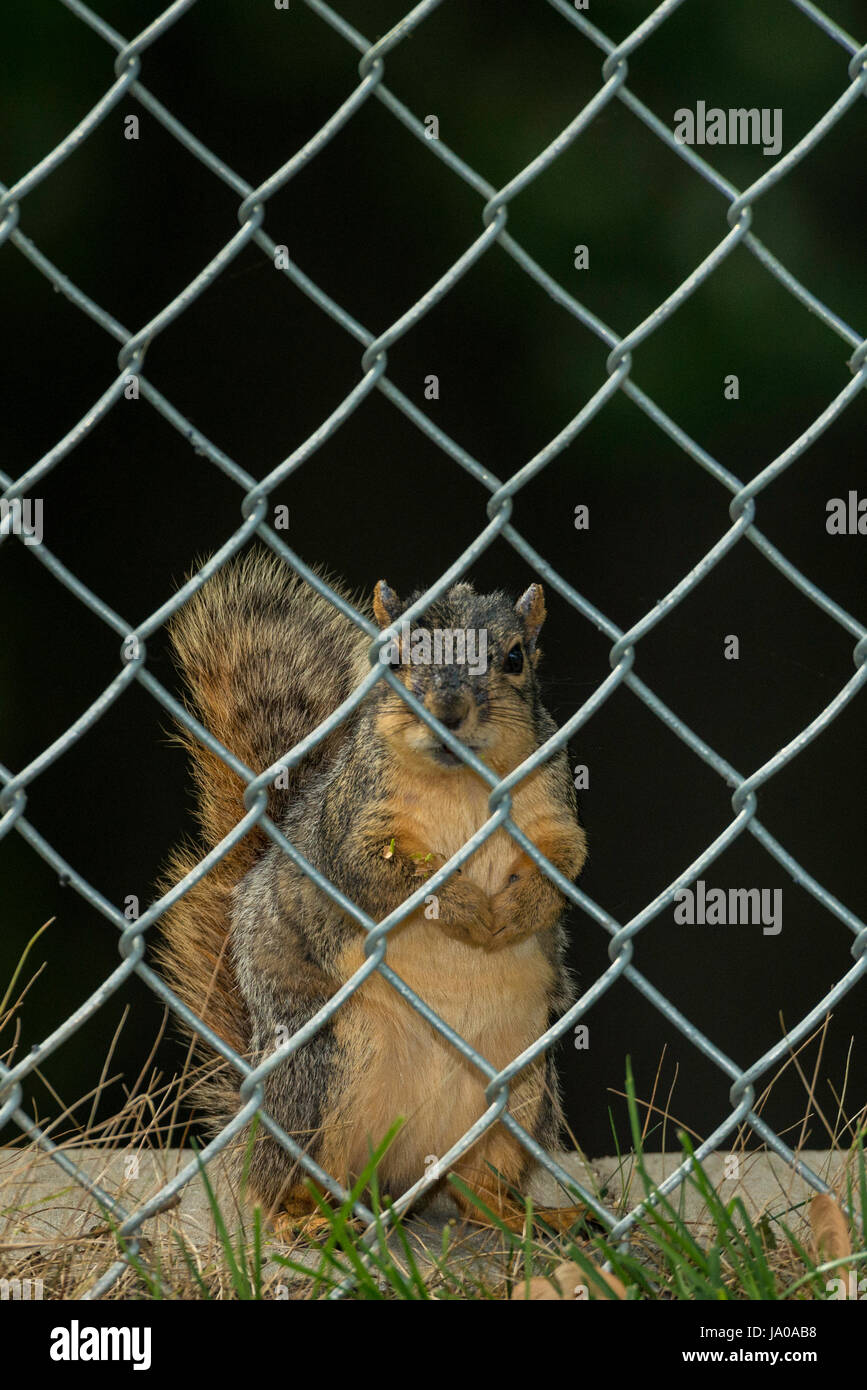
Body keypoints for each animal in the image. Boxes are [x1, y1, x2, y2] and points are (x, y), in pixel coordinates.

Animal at [156, 547, 588, 1229]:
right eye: (397, 655)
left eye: (516, 657)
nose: (449, 712)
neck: (463, 785)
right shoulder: (353, 825)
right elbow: (379, 872)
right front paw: (469, 906)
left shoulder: (550, 805)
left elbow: (564, 862)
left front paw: (519, 910)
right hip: (328, 1074)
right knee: (286, 1184)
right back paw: (305, 1218)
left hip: (517, 1093)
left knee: (476, 1190)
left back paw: (526, 1215)